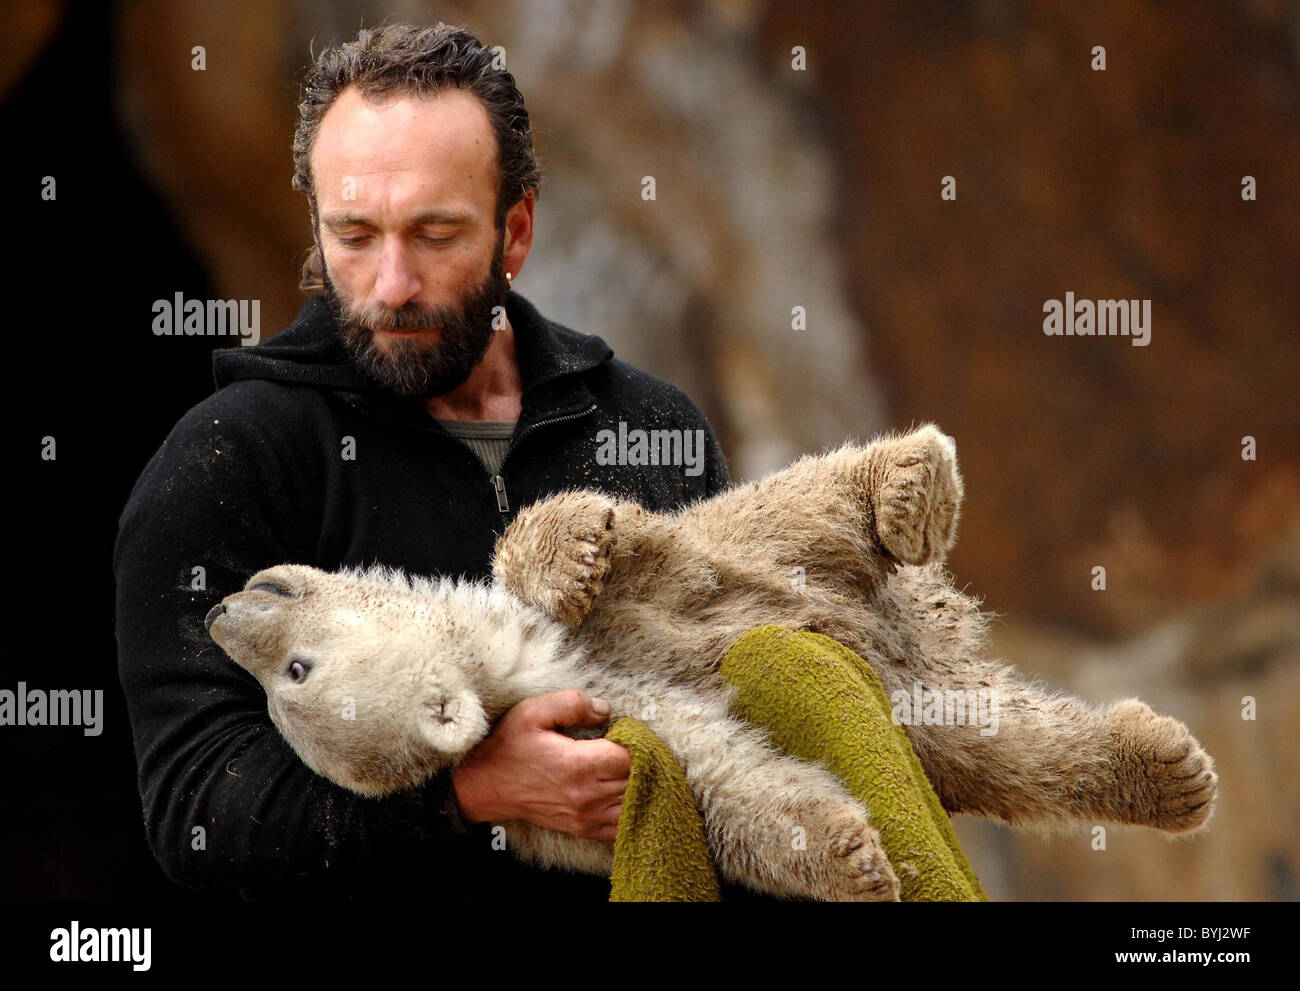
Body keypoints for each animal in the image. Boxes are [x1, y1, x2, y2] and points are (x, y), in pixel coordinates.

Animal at [206, 424, 1218, 901]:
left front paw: (569, 553)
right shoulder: (631, 733)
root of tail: (928, 633)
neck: (528, 670)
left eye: (290, 673)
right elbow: (735, 789)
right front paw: (853, 858)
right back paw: (1168, 772)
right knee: (1000, 747)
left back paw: (907, 486)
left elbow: (576, 538)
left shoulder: (625, 602)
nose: (219, 610)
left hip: (779, 561)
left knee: (795, 510)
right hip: (924, 702)